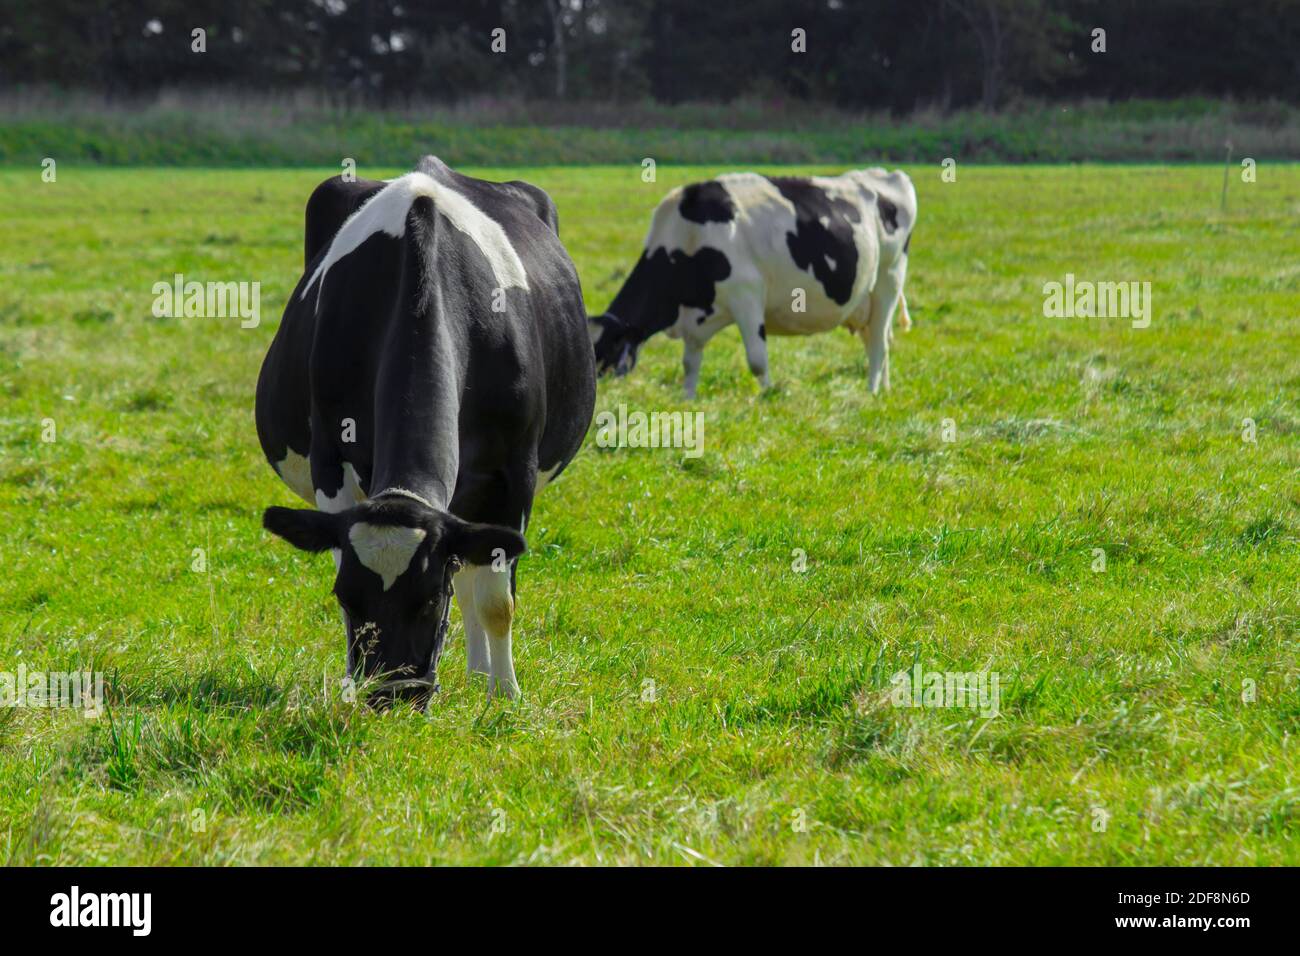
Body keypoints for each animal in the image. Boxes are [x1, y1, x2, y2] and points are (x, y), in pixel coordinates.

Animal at [255, 156, 595, 706]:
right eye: (345, 597)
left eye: (430, 599)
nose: (391, 695)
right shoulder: (332, 460)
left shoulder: (513, 473)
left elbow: (495, 600)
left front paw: (505, 697)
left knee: (474, 578)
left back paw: (481, 675)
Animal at [588, 169, 916, 398]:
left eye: (604, 353)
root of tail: (886, 175)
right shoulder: (696, 314)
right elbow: (690, 362)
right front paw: (688, 399)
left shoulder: (746, 295)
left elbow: (757, 360)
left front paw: (767, 395)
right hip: (865, 302)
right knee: (878, 339)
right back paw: (884, 388)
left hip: (888, 279)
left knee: (878, 343)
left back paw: (871, 390)